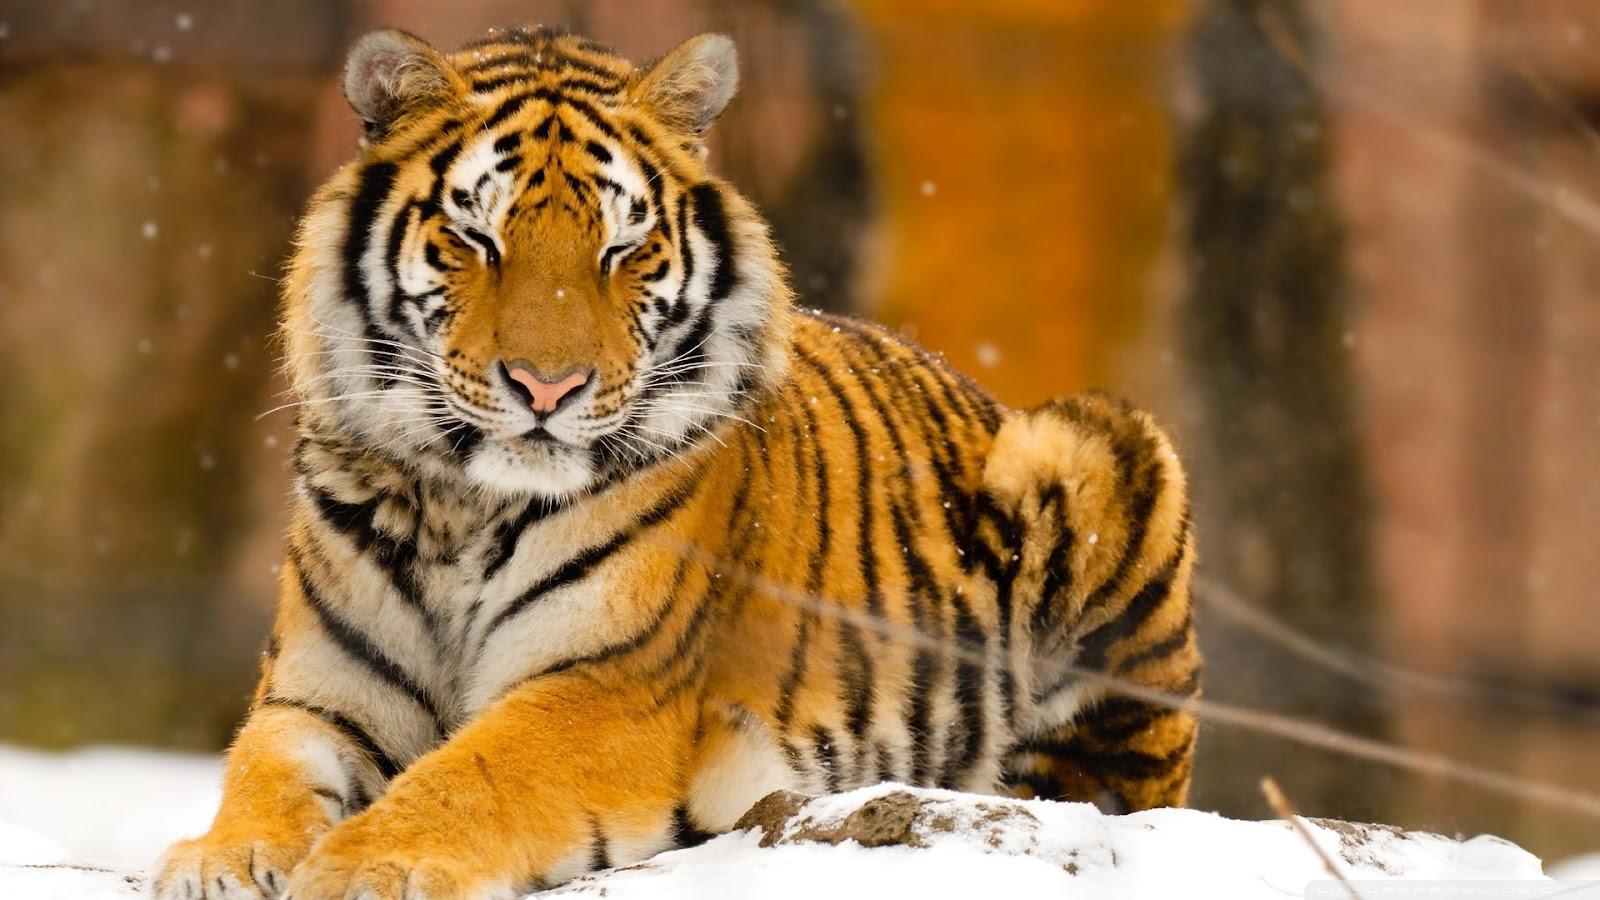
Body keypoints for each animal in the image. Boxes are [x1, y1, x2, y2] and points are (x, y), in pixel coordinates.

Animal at [154, 24, 1199, 900]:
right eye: (476, 238)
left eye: (623, 249)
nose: (547, 387)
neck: (461, 504)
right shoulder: (320, 694)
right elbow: (261, 767)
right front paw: (218, 858)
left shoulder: (610, 686)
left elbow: (472, 774)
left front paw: (367, 866)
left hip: (1096, 449)